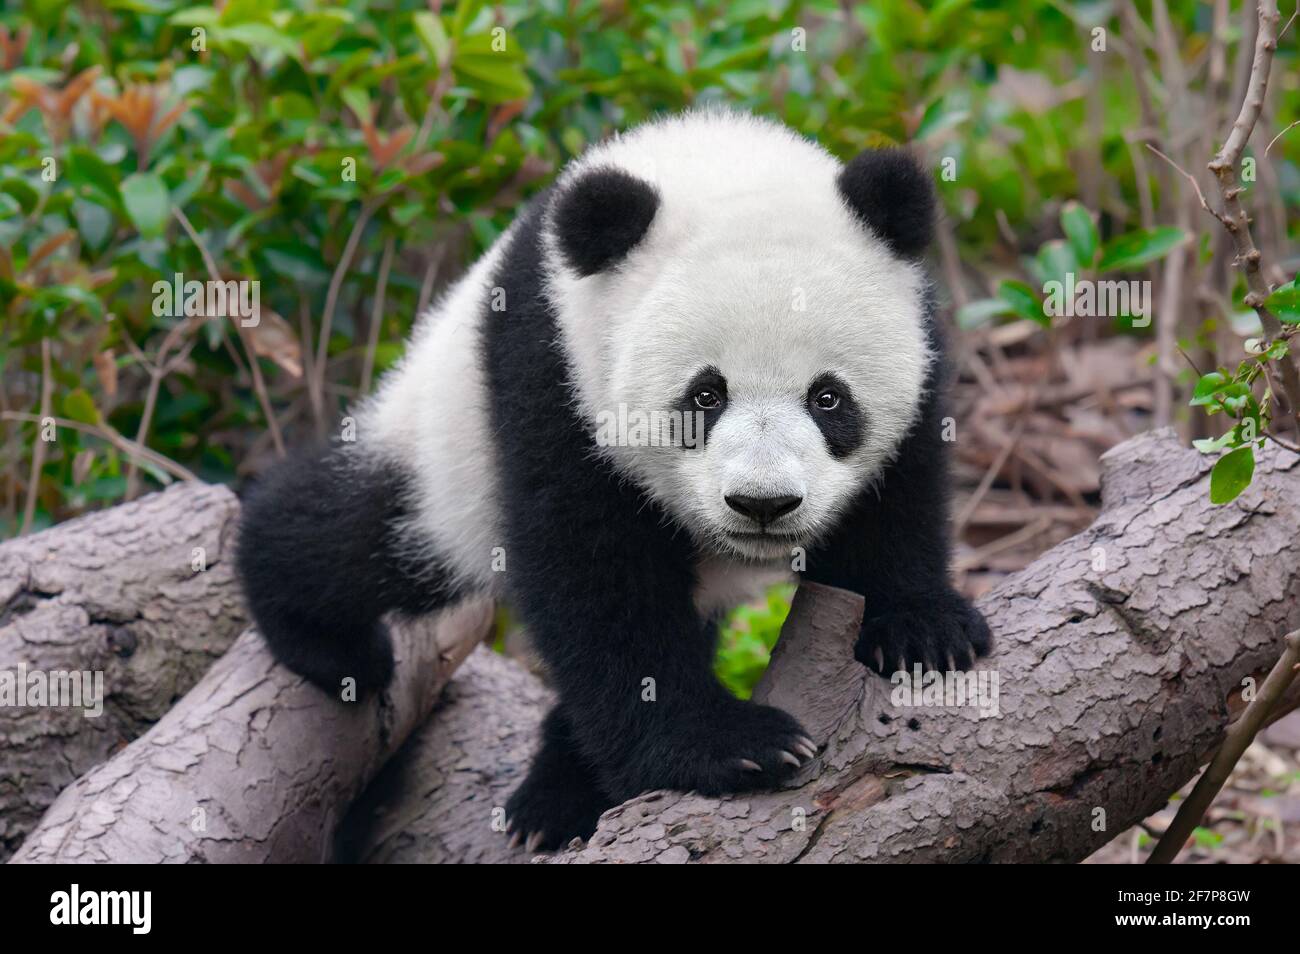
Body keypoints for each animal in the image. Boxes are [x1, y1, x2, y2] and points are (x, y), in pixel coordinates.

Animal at [236, 108, 992, 850]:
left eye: (828, 397)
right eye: (705, 396)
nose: (763, 504)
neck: (715, 158)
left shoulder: (919, 355)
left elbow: (897, 502)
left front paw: (923, 631)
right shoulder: (554, 369)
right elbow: (595, 576)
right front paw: (730, 747)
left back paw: (558, 786)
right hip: (445, 450)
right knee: (366, 538)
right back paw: (324, 639)